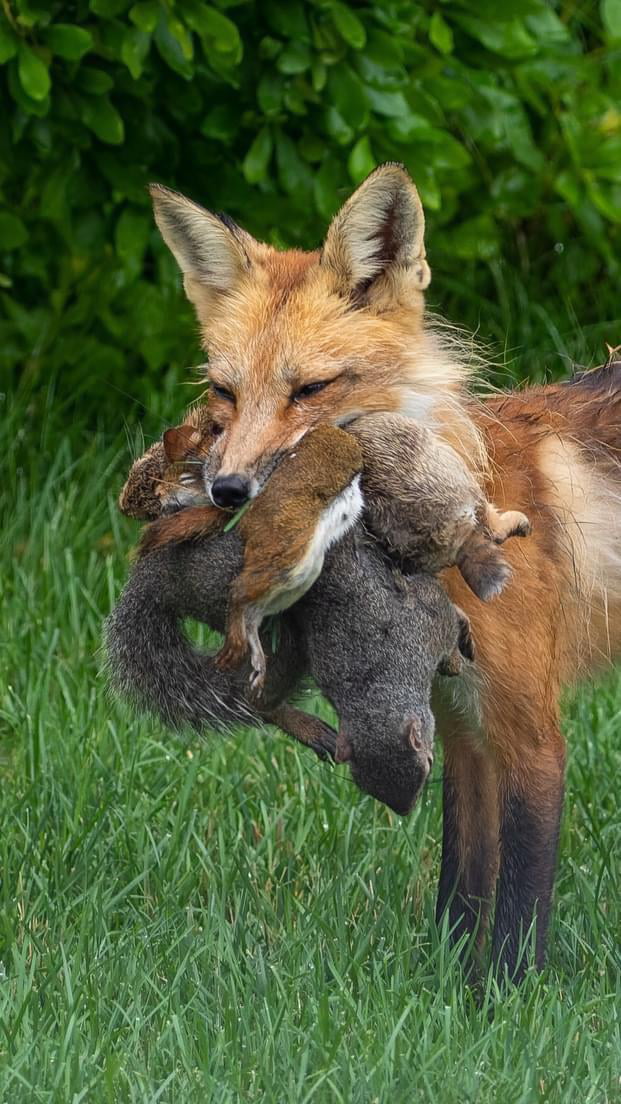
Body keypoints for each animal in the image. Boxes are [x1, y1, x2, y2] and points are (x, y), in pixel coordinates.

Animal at [145, 162, 621, 982]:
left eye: (309, 390)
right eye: (224, 393)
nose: (228, 490)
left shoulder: (531, 731)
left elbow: (521, 899)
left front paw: (510, 997)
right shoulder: (460, 724)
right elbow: (462, 881)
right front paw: (447, 986)